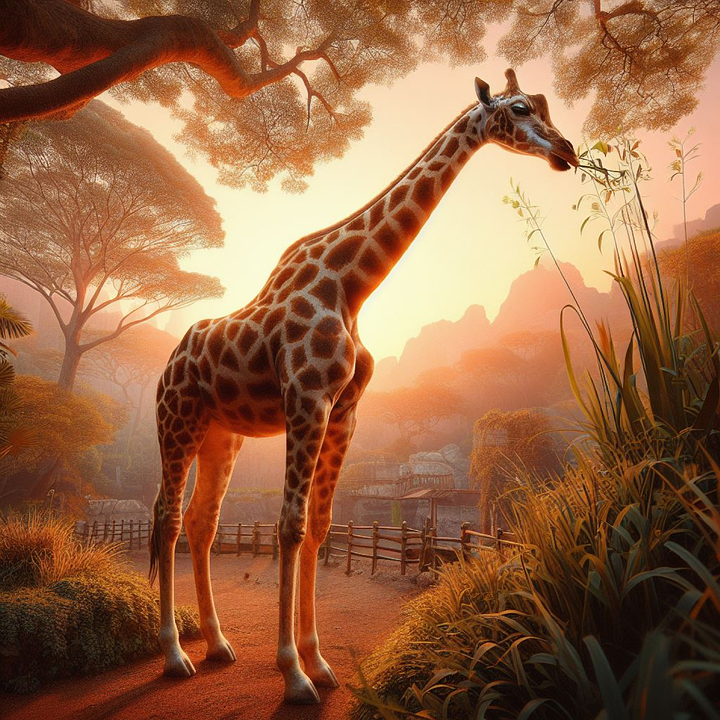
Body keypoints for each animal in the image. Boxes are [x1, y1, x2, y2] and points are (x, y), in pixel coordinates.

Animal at [151, 68, 578, 704]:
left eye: (546, 104)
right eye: (522, 108)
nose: (566, 151)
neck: (350, 284)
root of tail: (167, 366)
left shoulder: (344, 409)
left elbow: (321, 527)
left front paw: (318, 662)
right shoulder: (306, 398)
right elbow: (290, 525)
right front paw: (294, 674)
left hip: (221, 435)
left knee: (203, 524)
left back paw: (219, 646)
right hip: (176, 424)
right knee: (168, 519)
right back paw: (176, 656)